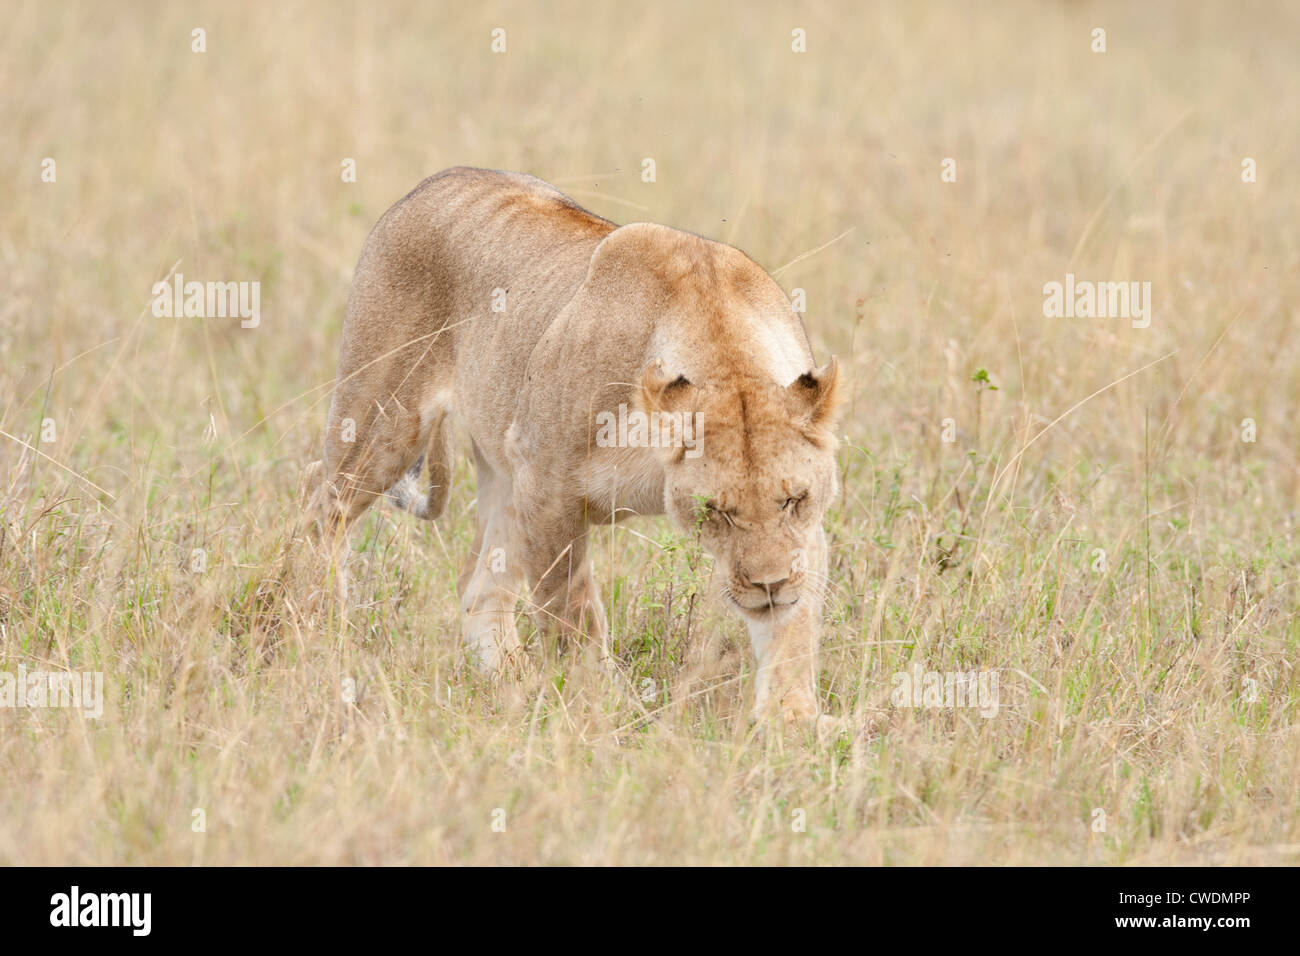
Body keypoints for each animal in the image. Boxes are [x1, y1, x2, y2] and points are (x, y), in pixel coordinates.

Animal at [306, 167, 844, 724]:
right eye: (715, 511)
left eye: (794, 500)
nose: (769, 585)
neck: (724, 350)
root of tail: (435, 180)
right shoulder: (548, 491)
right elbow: (572, 613)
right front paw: (598, 707)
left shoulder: (805, 535)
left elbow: (792, 629)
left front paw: (793, 719)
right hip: (386, 418)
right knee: (321, 502)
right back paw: (319, 626)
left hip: (503, 465)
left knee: (478, 584)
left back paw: (507, 679)